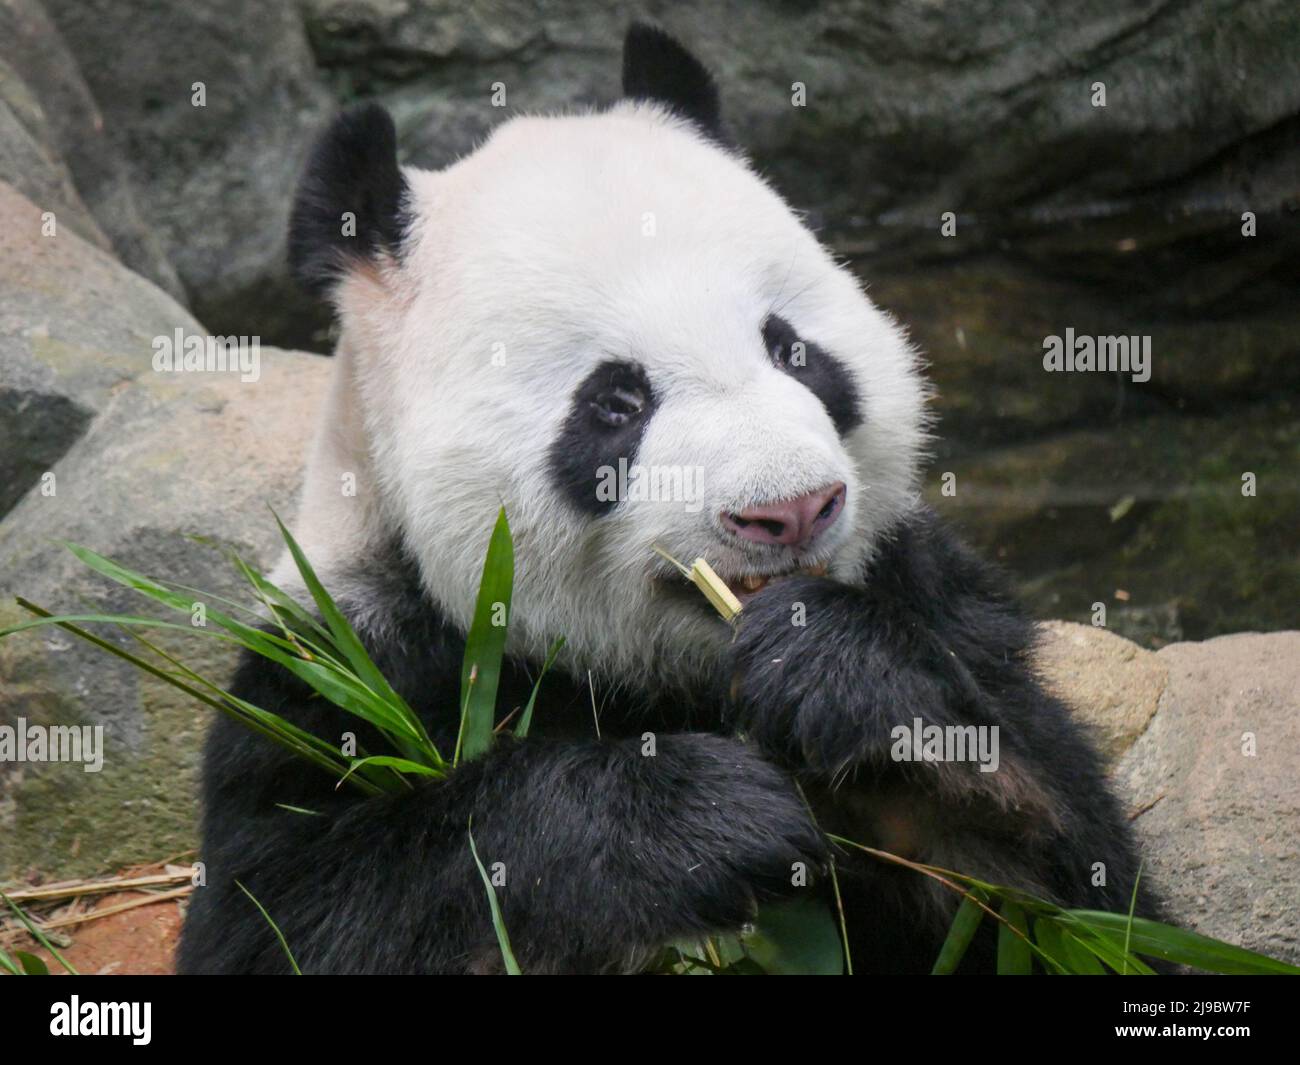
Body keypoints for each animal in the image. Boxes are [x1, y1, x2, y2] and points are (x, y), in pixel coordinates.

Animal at [177, 23, 1157, 975]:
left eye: (792, 349)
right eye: (617, 401)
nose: (793, 509)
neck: (670, 676)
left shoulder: (939, 598)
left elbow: (1082, 906)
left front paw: (846, 679)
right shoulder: (341, 660)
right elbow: (294, 915)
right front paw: (692, 819)